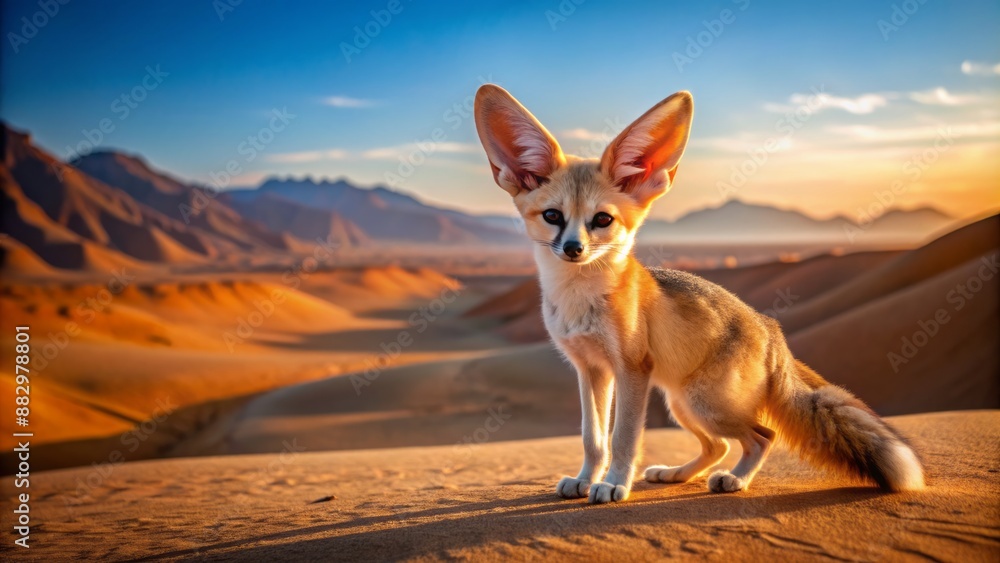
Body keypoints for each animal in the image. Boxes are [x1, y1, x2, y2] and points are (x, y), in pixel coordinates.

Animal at [472, 84, 925, 504]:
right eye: (553, 216)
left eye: (602, 220)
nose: (573, 250)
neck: (579, 301)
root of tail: (770, 328)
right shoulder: (591, 370)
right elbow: (593, 438)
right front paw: (585, 479)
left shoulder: (632, 369)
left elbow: (622, 438)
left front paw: (614, 484)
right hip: (682, 404)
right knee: (719, 445)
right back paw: (675, 474)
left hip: (703, 403)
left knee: (761, 435)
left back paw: (735, 480)